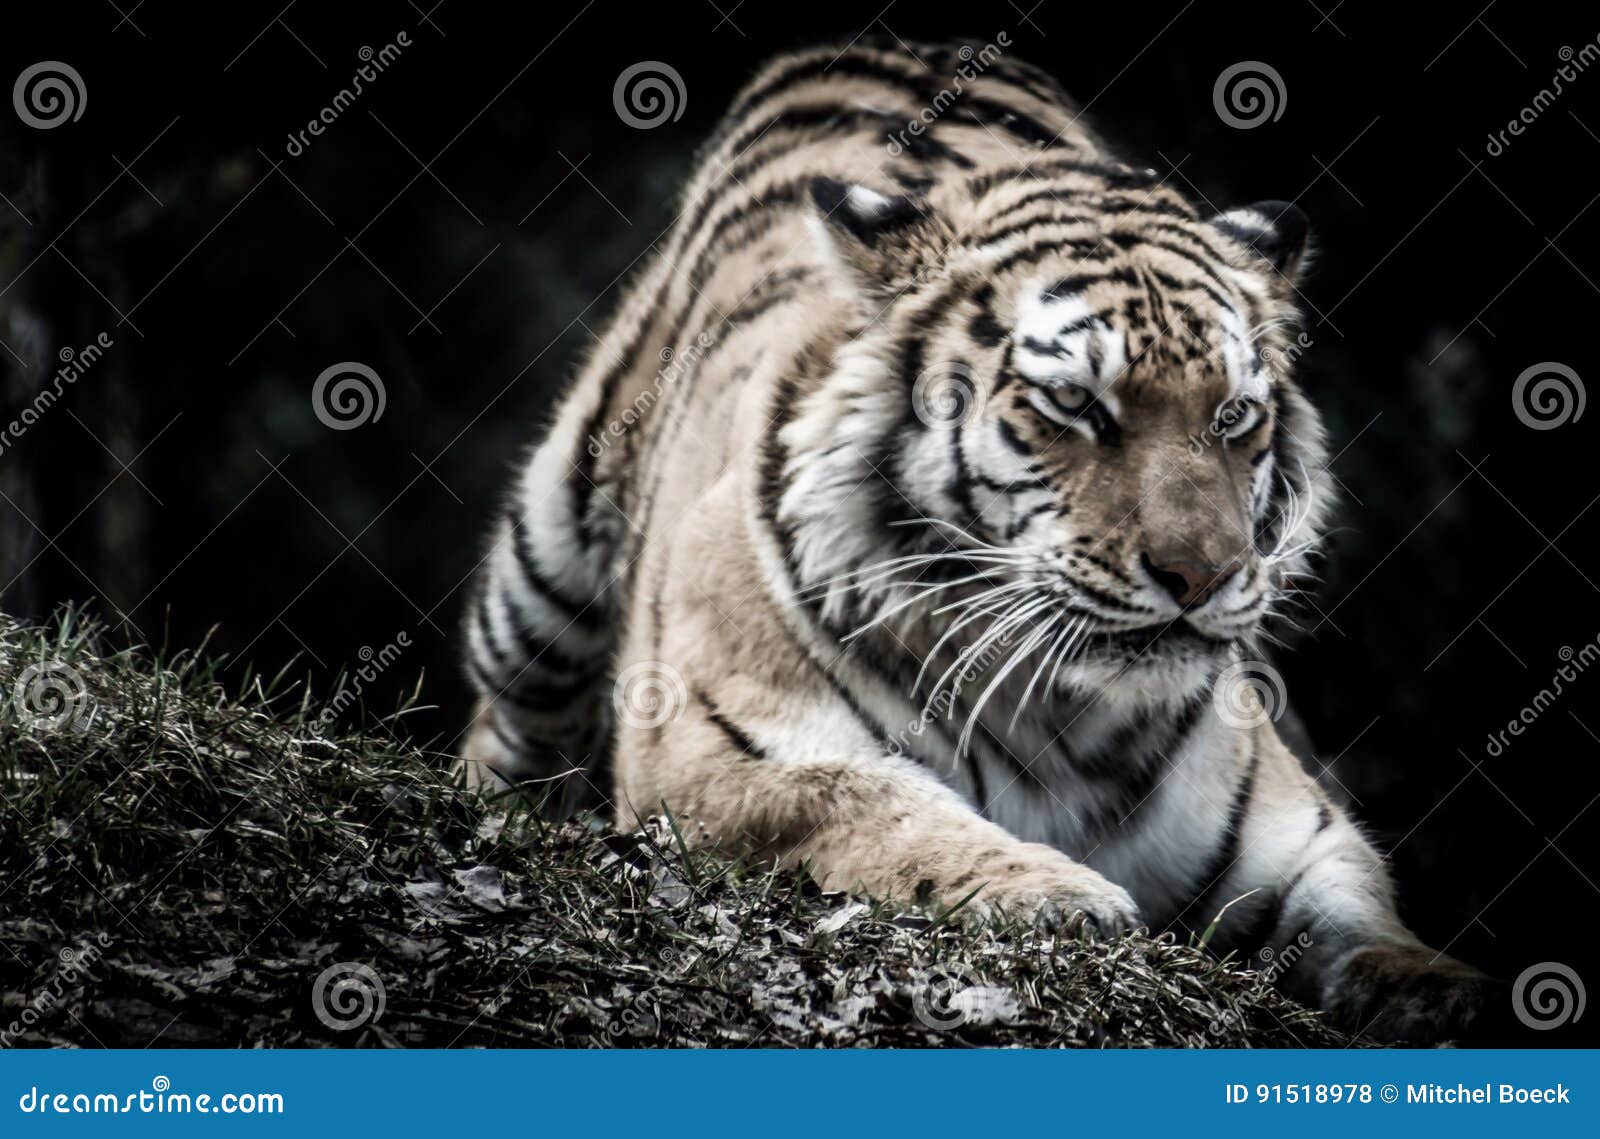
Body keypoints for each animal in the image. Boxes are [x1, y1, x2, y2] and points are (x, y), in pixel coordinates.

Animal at [461, 40, 1499, 1042]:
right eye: (1075, 402)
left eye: (1235, 415)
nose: (1201, 575)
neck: (1067, 719)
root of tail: (904, 45)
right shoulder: (716, 750)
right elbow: (880, 808)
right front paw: (1053, 893)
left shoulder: (1300, 835)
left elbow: (1362, 923)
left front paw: (1445, 991)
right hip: (545, 557)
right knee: (513, 716)